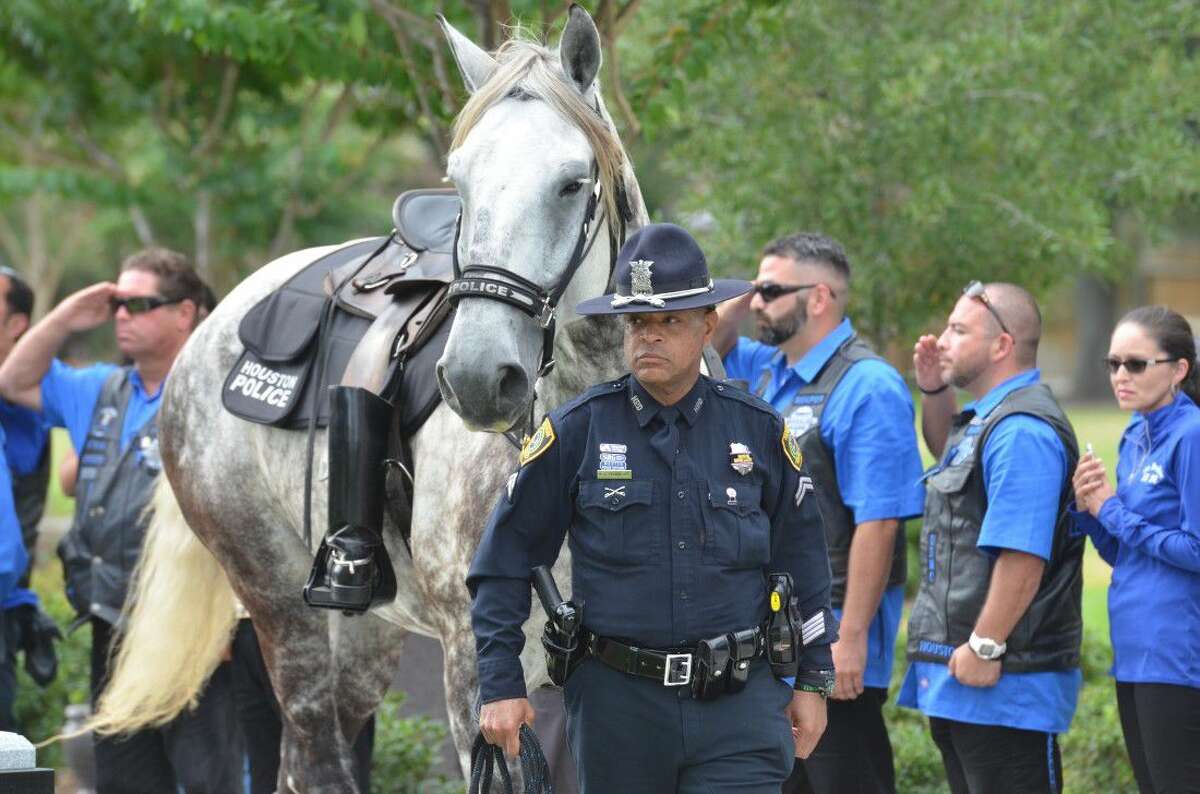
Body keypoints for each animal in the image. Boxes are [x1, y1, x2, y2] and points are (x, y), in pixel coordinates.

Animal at [90, 8, 647, 791]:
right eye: (460, 185)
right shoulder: (477, 675)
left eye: (572, 183)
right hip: (281, 610)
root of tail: (208, 331)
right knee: (315, 758)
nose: (478, 377)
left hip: (365, 641)